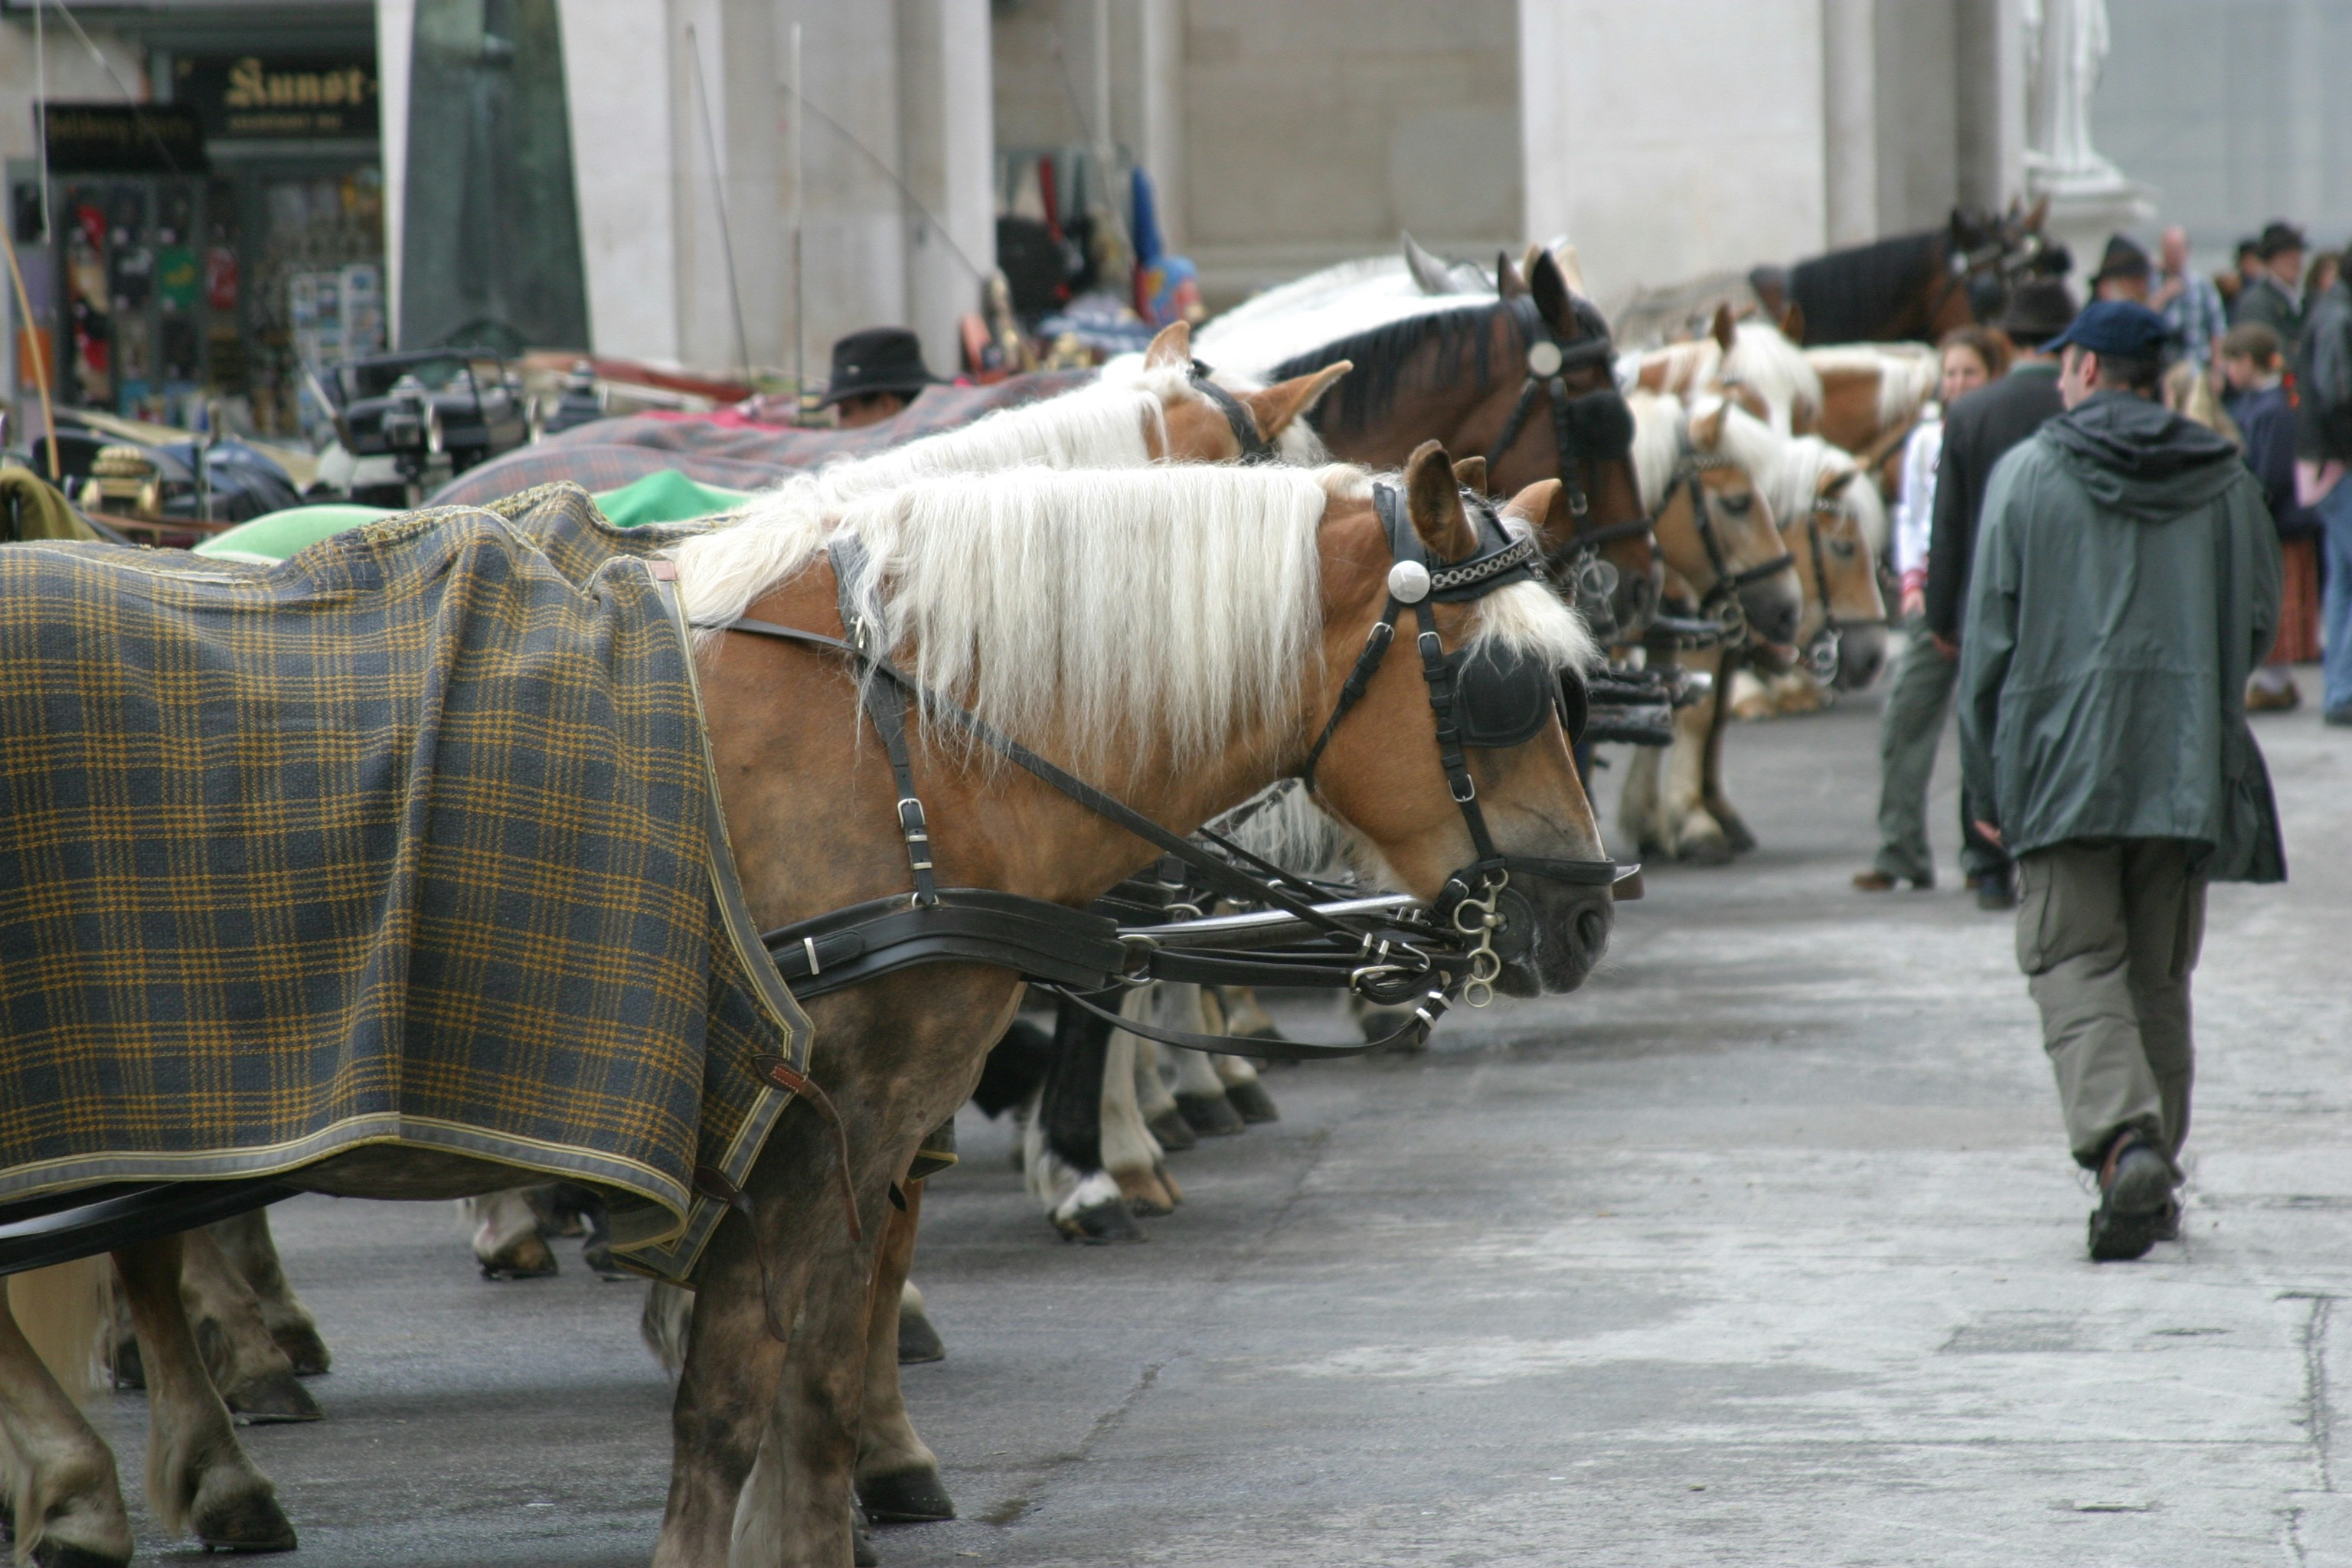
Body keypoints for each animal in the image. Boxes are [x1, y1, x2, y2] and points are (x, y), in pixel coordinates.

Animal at [0, 450, 1615, 1568]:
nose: (1591, 904)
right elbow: (731, 1390)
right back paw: (117, 1471)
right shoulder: (780, 1123)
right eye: (1494, 682)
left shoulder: (868, 1129)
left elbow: (824, 1379)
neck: (904, 745)